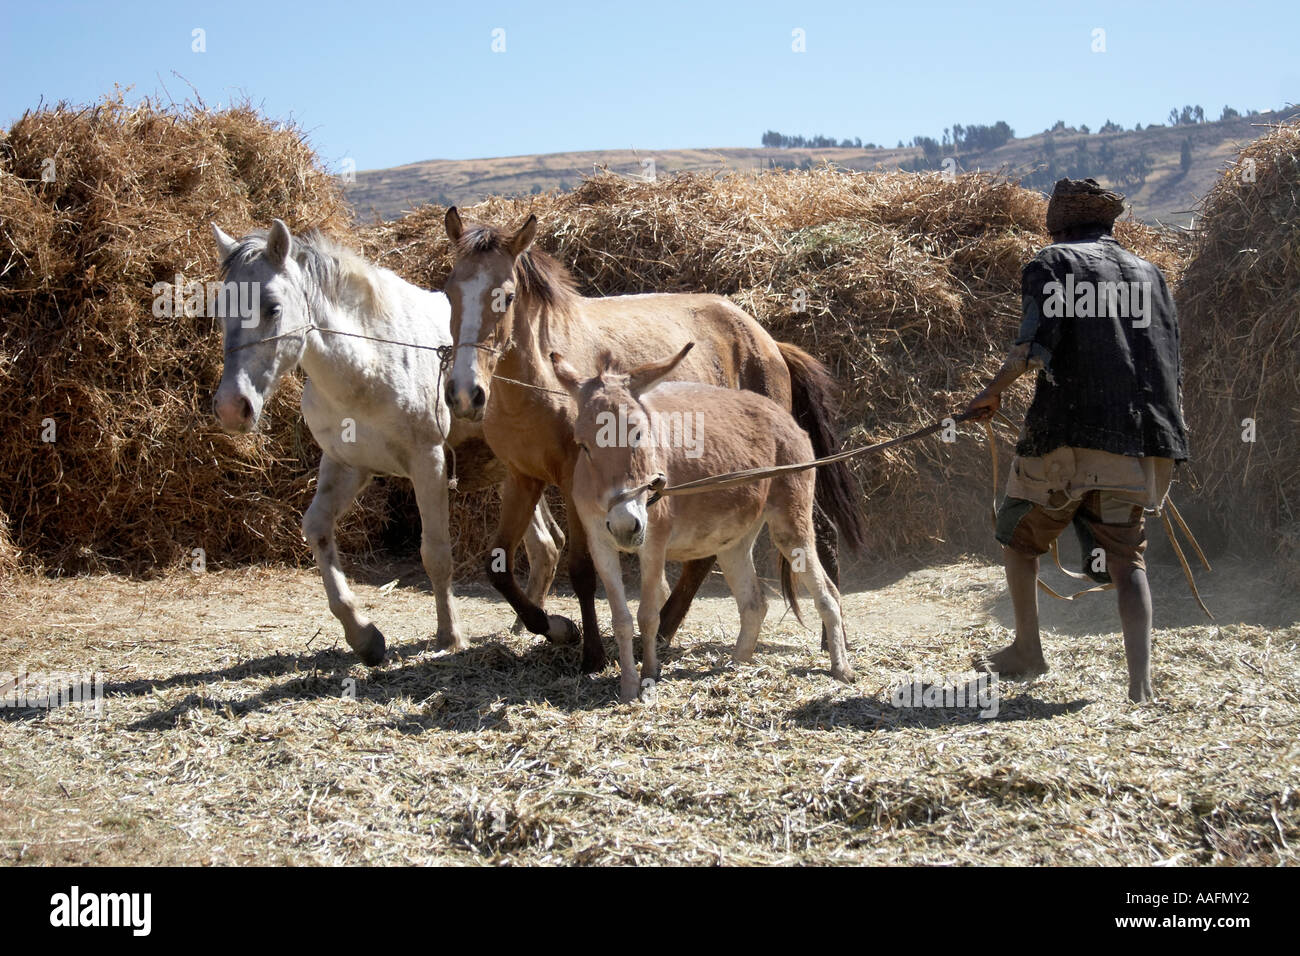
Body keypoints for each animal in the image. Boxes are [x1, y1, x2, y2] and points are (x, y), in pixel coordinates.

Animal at [210, 219, 563, 665]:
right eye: (219, 307)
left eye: (272, 307)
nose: (231, 407)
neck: (370, 362)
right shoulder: (346, 465)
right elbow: (317, 530)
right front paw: (363, 637)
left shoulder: (428, 463)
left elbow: (436, 553)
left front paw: (450, 636)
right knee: (546, 546)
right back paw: (525, 624)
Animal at [552, 345, 855, 702]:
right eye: (583, 446)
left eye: (639, 434)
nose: (626, 524)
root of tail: (781, 414)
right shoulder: (601, 544)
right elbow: (622, 618)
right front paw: (627, 686)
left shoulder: (654, 544)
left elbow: (648, 615)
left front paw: (648, 679)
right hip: (733, 541)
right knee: (754, 602)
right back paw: (736, 666)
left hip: (790, 526)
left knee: (828, 594)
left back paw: (841, 668)